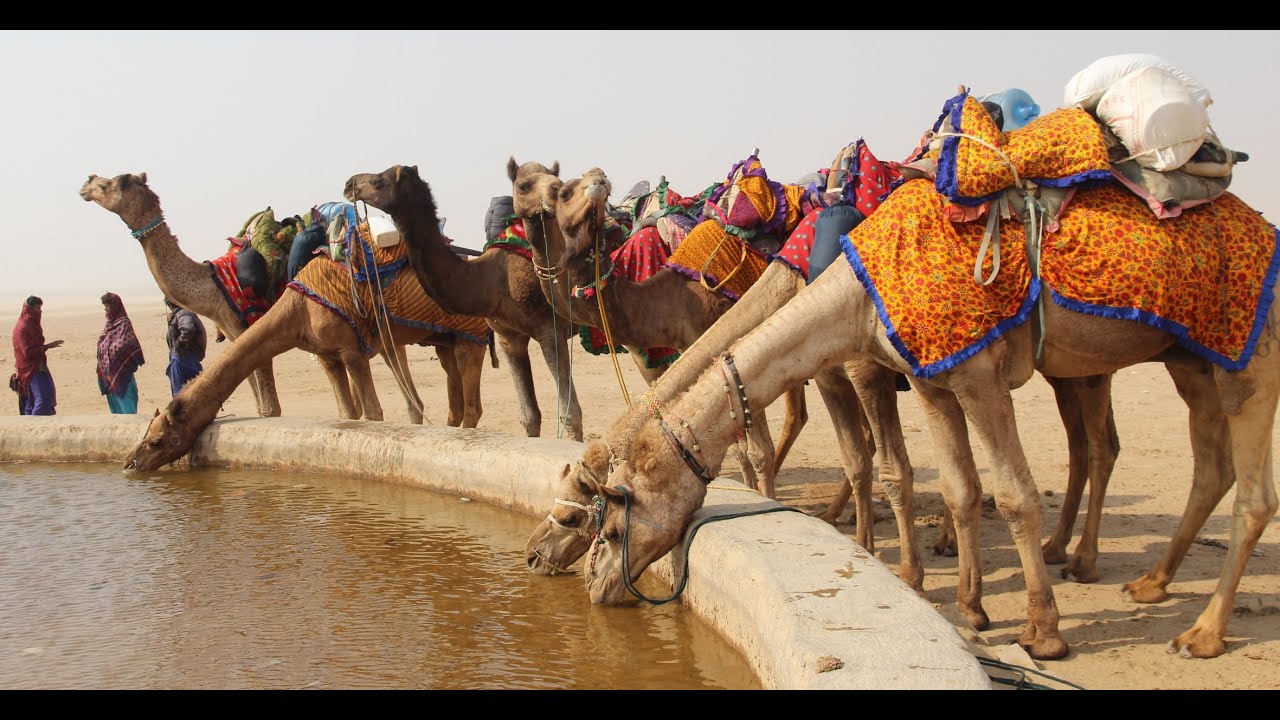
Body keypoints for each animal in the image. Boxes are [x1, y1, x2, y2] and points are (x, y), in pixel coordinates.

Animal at [343, 164, 585, 442]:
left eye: (379, 181)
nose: (349, 184)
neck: (492, 279)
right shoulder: (508, 336)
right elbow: (530, 417)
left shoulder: (549, 329)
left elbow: (570, 414)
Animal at [582, 178, 1280, 661]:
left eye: (608, 519)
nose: (590, 582)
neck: (854, 295)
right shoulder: (928, 379)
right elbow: (960, 486)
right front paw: (969, 606)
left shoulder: (969, 376)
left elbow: (1009, 494)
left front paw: (1042, 631)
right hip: (1186, 358)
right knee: (1200, 465)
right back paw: (1148, 582)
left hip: (1248, 353)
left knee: (1239, 490)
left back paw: (1197, 630)